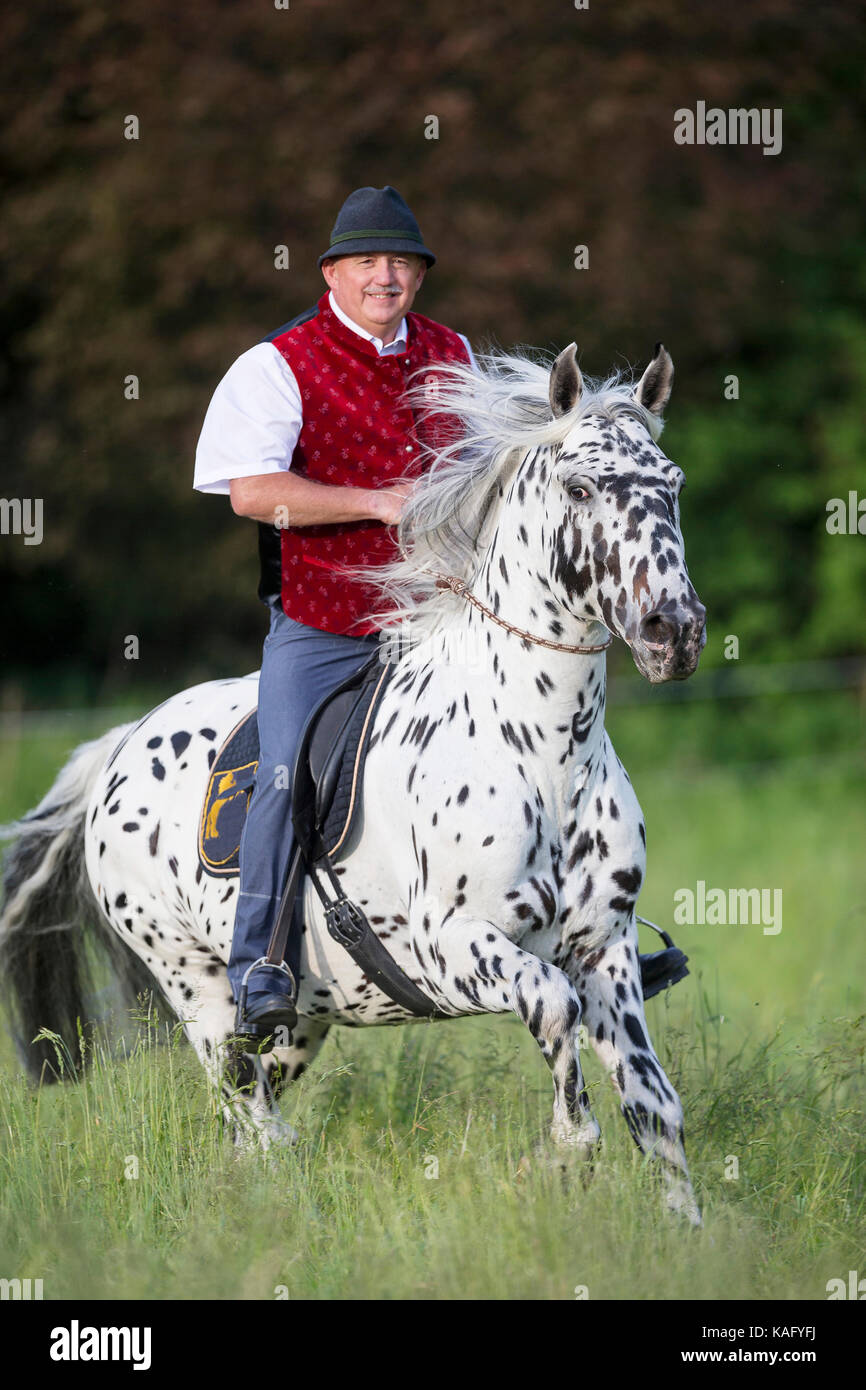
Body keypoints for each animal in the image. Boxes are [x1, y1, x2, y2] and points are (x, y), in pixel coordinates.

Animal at [0, 341, 708, 1223]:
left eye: (672, 483)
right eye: (580, 488)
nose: (674, 633)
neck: (541, 754)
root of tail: (120, 747)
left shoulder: (606, 951)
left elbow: (655, 1105)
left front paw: (688, 1229)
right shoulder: (453, 944)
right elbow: (553, 1005)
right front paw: (568, 1149)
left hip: (299, 1019)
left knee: (252, 1122)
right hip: (199, 993)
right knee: (257, 1122)